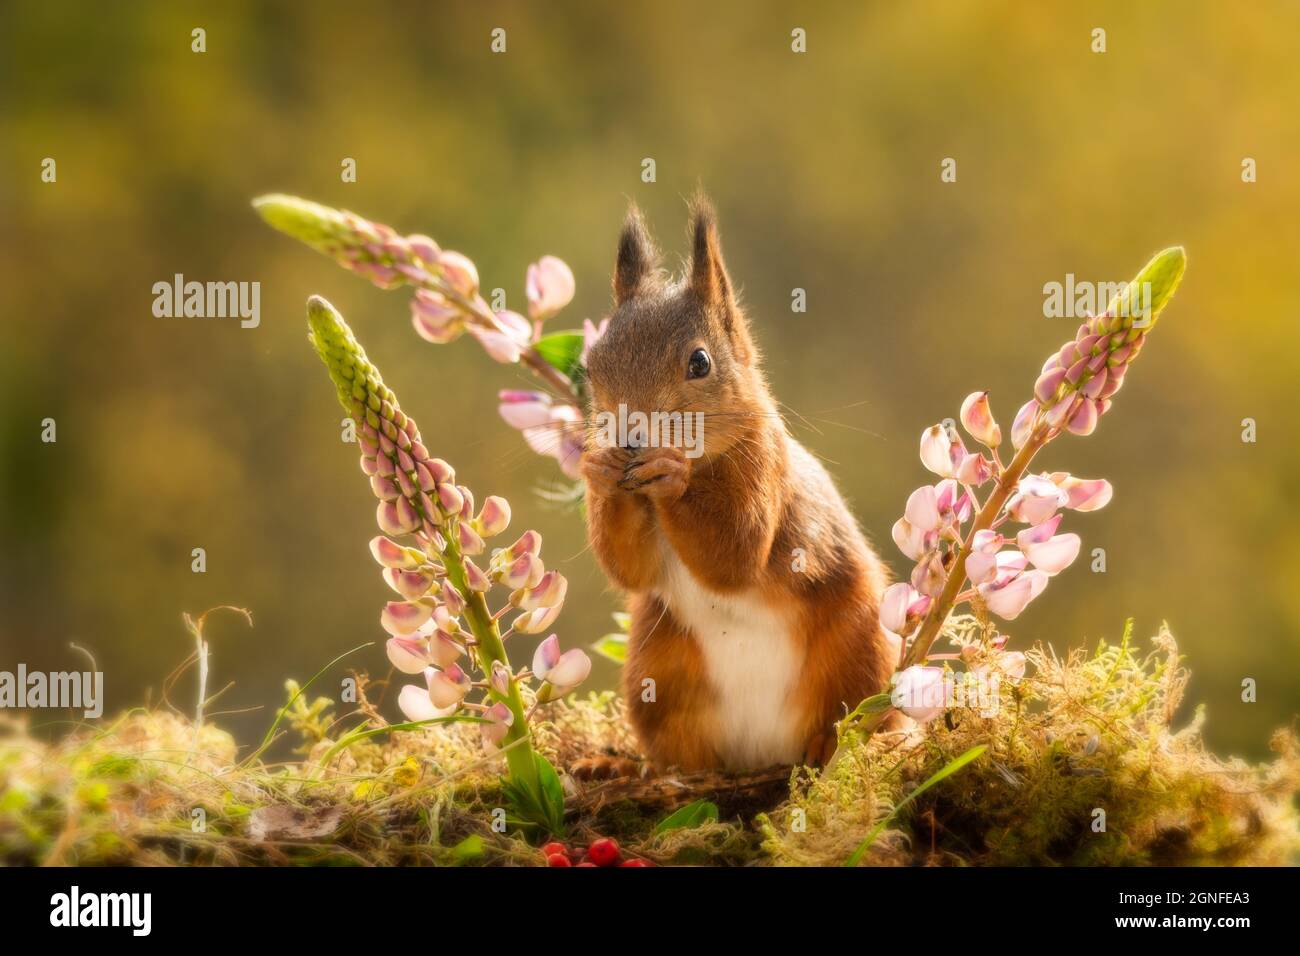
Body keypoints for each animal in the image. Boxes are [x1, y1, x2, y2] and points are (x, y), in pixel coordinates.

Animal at [581, 196, 898, 771]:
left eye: (700, 362)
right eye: (590, 366)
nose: (629, 435)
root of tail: (763, 751)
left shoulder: (764, 471)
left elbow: (735, 553)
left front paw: (671, 475)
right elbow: (631, 570)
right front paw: (601, 470)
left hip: (861, 641)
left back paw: (841, 743)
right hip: (655, 670)